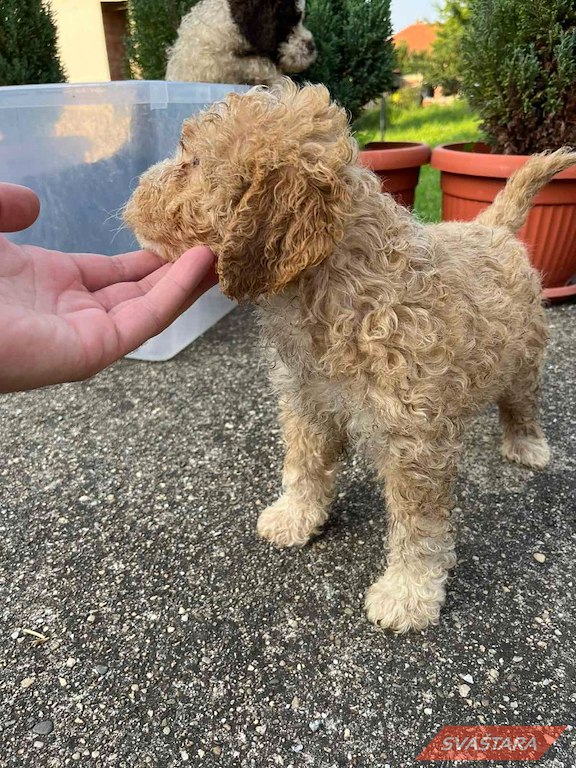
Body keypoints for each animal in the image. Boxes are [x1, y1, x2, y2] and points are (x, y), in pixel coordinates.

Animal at [126, 85, 576, 636]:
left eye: (191, 161)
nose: (133, 193)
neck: (338, 293)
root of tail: (493, 230)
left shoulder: (414, 441)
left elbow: (419, 525)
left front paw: (408, 593)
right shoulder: (306, 402)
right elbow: (303, 466)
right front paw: (295, 517)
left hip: (527, 353)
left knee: (523, 401)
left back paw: (526, 445)